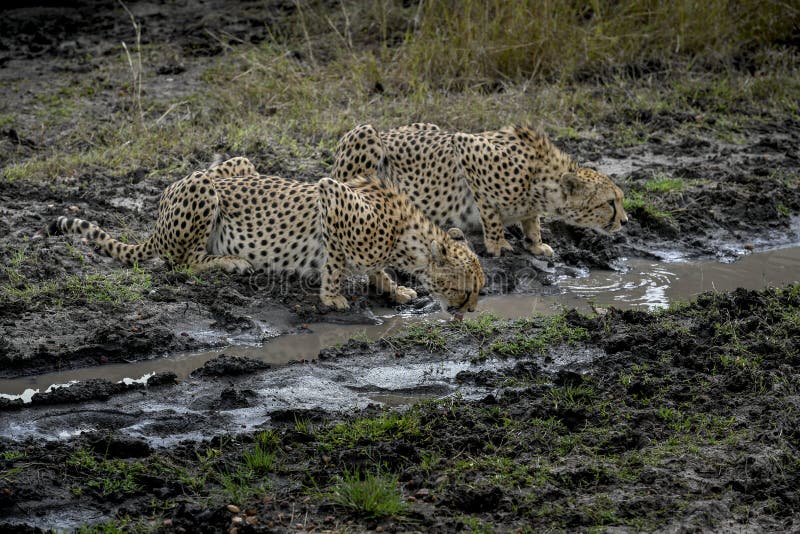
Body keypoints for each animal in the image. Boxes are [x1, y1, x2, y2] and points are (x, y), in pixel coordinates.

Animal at [43, 154, 485, 313]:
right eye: (465, 290)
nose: (467, 312)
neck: (407, 239)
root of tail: (161, 204)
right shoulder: (331, 194)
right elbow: (335, 260)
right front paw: (333, 297)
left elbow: (376, 270)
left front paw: (395, 288)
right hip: (203, 189)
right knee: (182, 262)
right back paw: (233, 262)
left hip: (240, 163)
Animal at [331, 123, 628, 258]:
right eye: (610, 202)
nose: (625, 221)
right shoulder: (466, 147)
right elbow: (490, 211)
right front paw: (497, 244)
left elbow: (531, 220)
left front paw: (535, 243)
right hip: (366, 134)